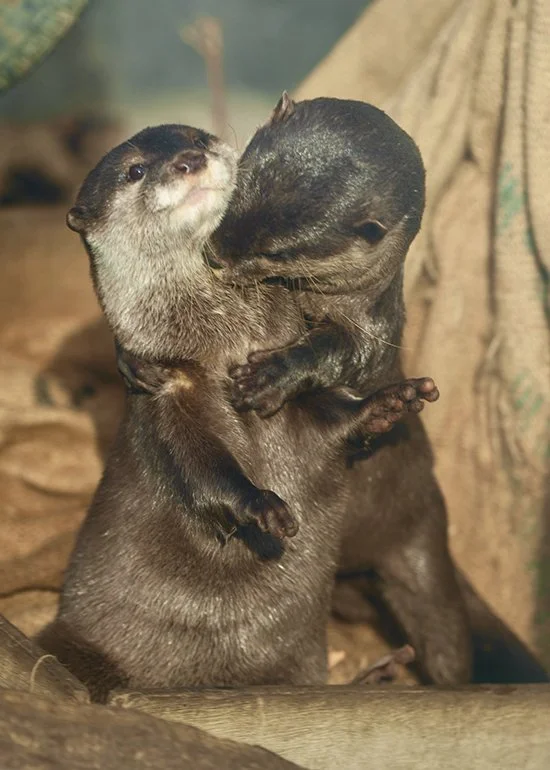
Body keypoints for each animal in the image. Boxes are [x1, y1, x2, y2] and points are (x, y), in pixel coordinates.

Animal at [39, 123, 439, 701]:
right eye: (134, 170)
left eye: (199, 137)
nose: (188, 160)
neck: (222, 340)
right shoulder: (166, 400)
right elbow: (203, 473)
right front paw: (261, 507)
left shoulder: (290, 394)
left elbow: (333, 419)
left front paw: (388, 404)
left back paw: (377, 675)